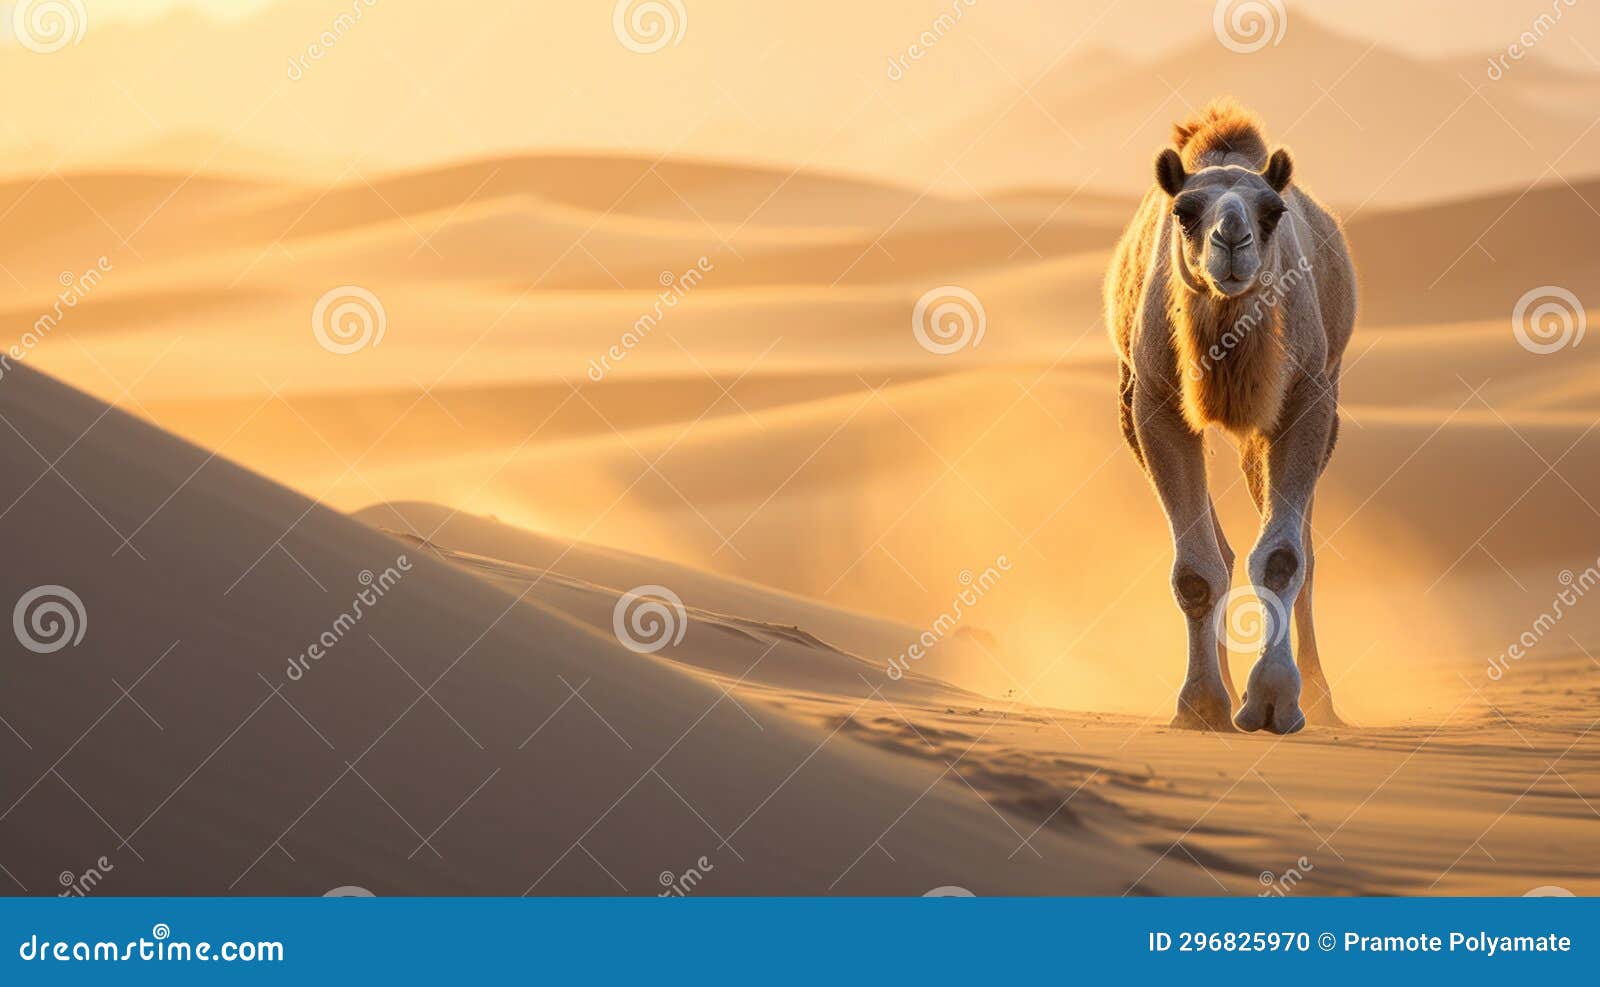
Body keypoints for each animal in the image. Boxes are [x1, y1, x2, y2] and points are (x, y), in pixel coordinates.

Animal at [1104, 99, 1356, 734]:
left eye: (1273, 211)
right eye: (1185, 211)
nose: (1232, 238)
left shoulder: (1306, 399)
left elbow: (1285, 559)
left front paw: (1273, 700)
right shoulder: (1155, 405)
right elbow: (1196, 572)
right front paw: (1200, 705)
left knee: (1304, 550)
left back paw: (1322, 701)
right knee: (1216, 550)